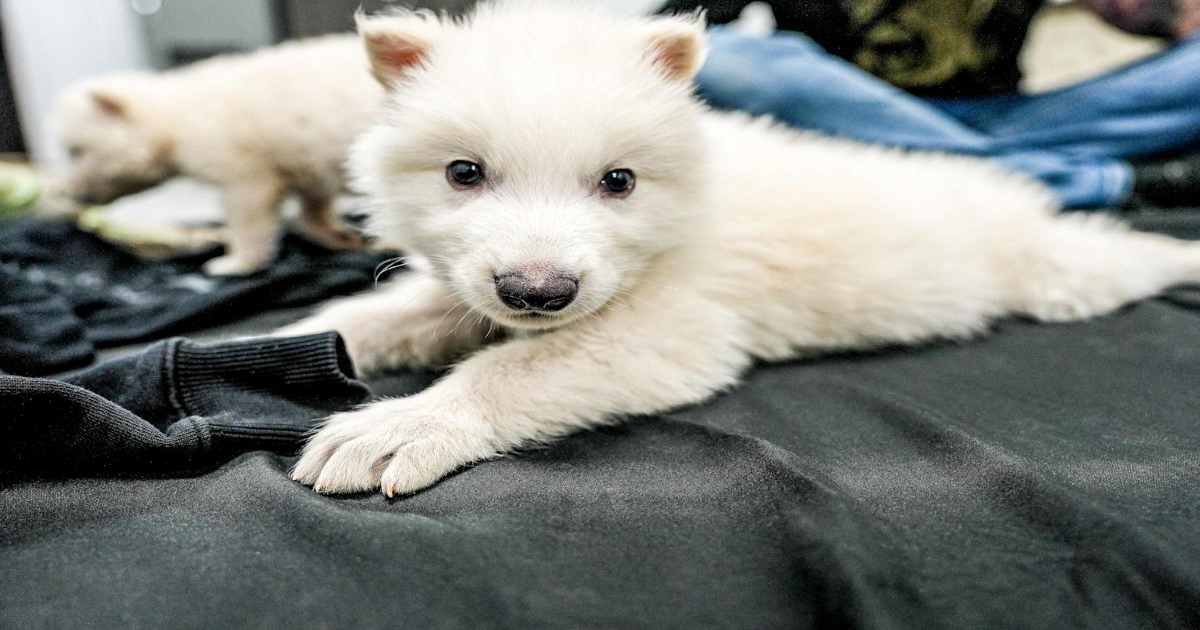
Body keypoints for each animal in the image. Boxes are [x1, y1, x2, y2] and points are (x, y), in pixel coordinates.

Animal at [280, 4, 1200, 496]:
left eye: (618, 181)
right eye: (463, 172)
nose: (538, 292)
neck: (675, 226)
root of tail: (1011, 197)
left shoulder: (677, 323)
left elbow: (523, 367)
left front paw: (403, 425)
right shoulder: (469, 285)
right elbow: (393, 313)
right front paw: (288, 338)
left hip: (1050, 268)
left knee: (1114, 256)